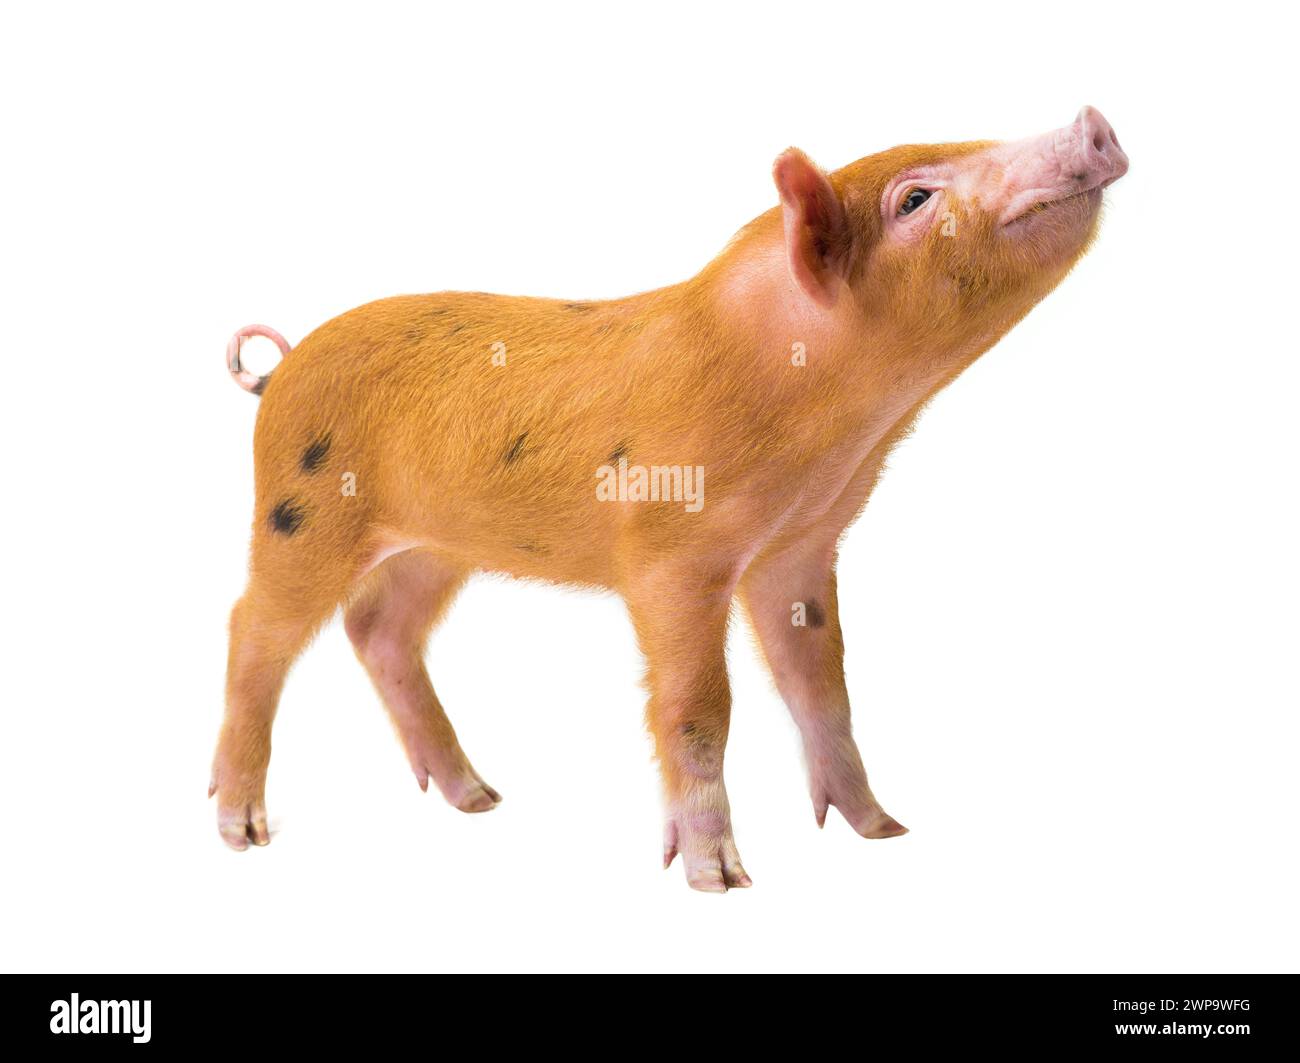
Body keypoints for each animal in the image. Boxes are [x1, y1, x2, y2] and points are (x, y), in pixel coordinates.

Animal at [214, 106, 1128, 891]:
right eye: (913, 200)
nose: (1094, 121)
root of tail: (279, 372)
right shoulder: (670, 556)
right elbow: (700, 706)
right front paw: (720, 879)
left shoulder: (798, 548)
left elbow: (824, 685)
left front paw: (884, 830)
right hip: (298, 513)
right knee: (254, 630)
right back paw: (243, 830)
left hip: (435, 546)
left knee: (379, 628)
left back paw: (480, 798)